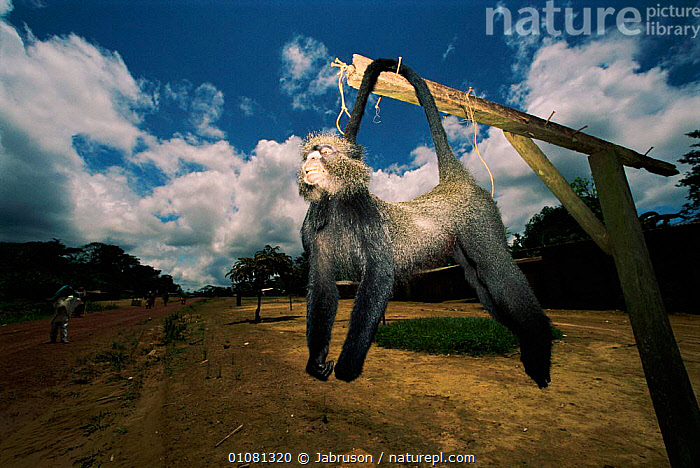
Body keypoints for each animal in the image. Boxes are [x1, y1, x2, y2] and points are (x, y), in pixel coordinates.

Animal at [298, 59, 552, 388]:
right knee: (481, 282)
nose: (311, 160)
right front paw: (316, 361)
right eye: (309, 153)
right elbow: (323, 283)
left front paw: (347, 366)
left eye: (325, 152)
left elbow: (379, 276)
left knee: (496, 271)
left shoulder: (365, 213)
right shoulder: (312, 227)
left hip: (480, 220)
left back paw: (539, 341)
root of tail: (455, 182)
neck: (334, 201)